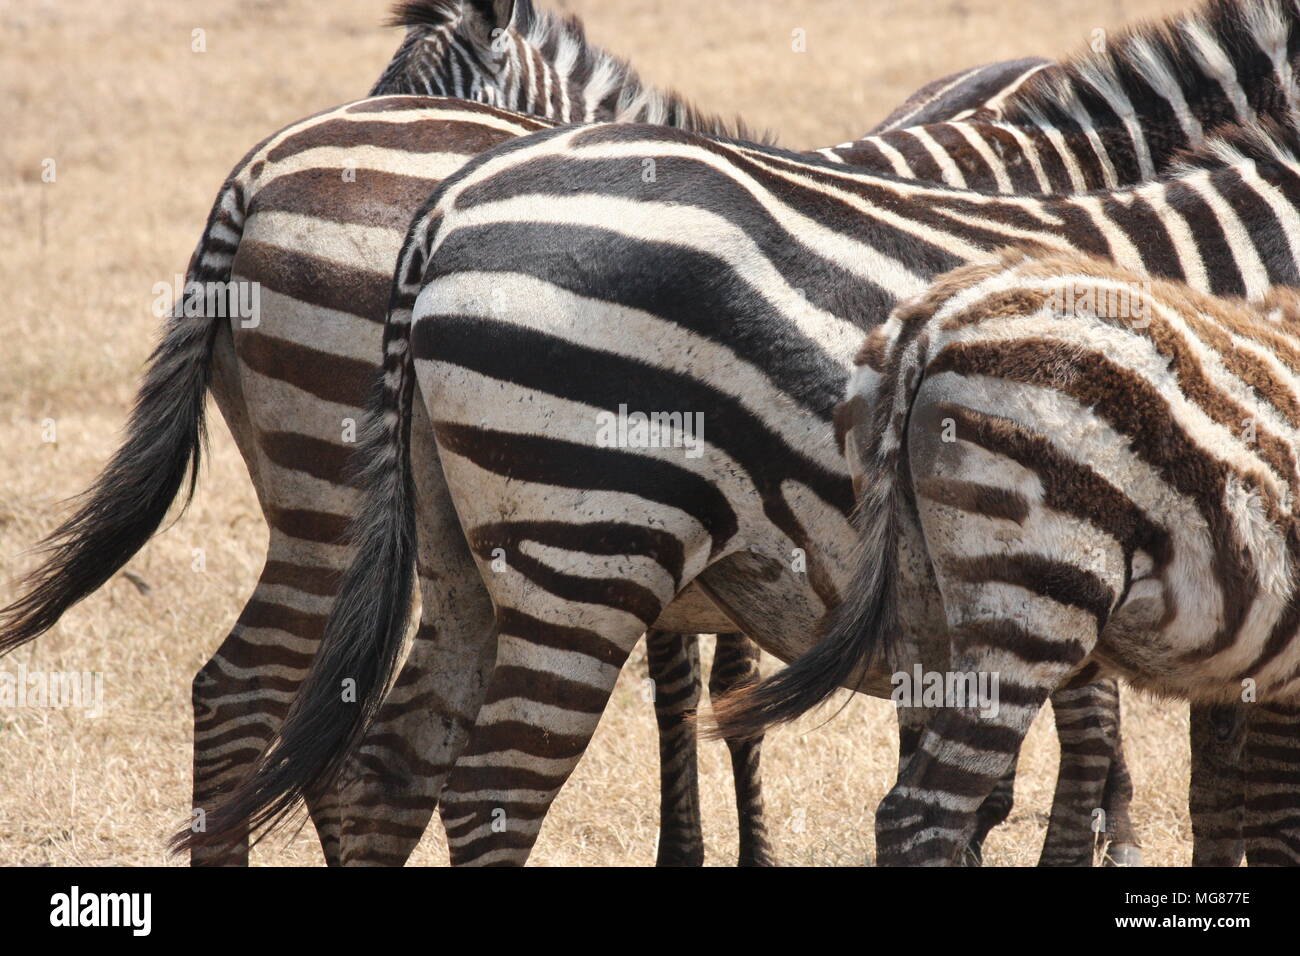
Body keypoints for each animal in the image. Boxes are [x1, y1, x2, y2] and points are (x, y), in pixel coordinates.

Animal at [780, 234, 1300, 865]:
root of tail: (933, 321)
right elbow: (1276, 821)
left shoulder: (1252, 676)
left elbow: (1229, 809)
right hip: (1034, 597)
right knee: (921, 811)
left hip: (917, 600)